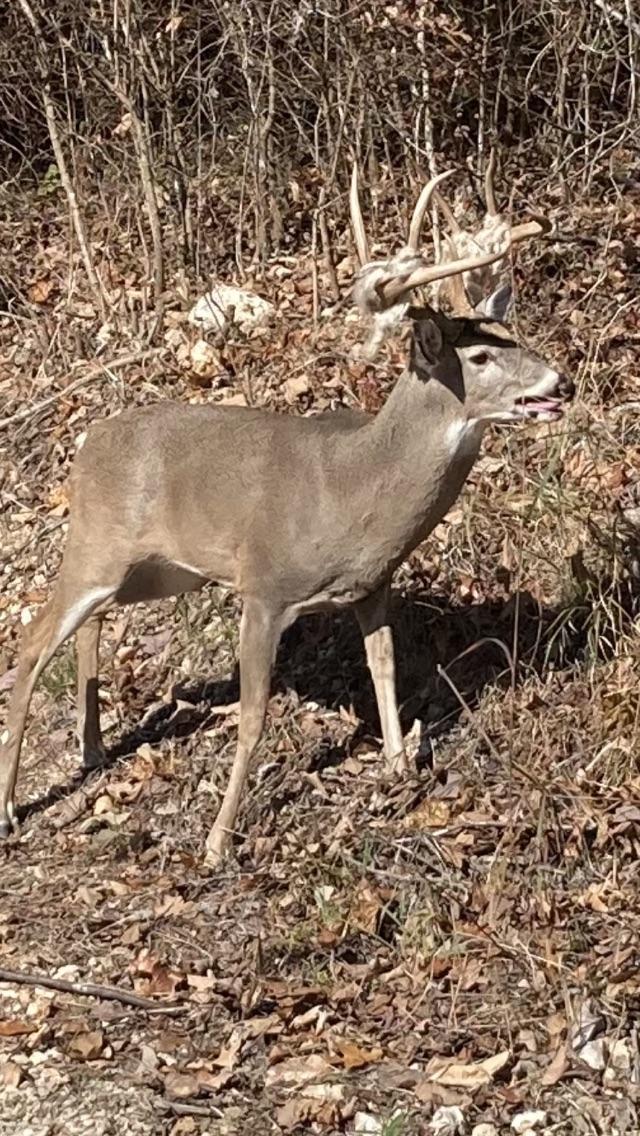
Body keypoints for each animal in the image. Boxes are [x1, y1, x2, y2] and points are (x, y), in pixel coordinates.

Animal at [0, 165, 573, 867]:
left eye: (512, 337)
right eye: (481, 357)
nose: (557, 383)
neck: (357, 492)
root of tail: (87, 442)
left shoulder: (372, 586)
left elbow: (385, 667)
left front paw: (396, 765)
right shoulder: (265, 588)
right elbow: (253, 717)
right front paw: (218, 841)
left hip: (157, 570)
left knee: (90, 623)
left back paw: (93, 747)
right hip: (96, 541)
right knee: (34, 638)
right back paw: (11, 805)